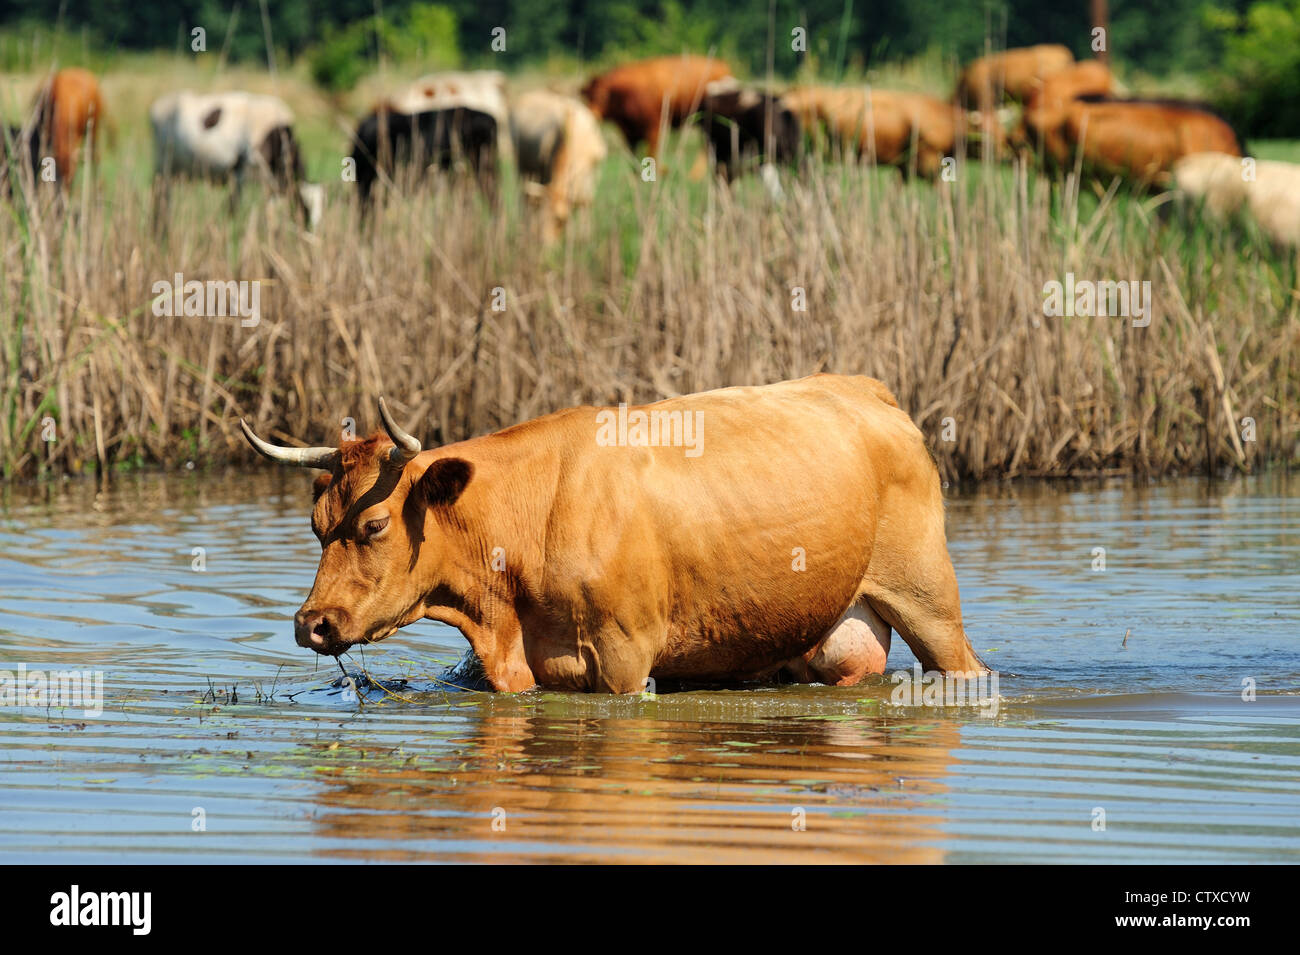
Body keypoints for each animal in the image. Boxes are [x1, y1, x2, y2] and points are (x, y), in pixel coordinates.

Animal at [150, 91, 323, 228]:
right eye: (307, 212)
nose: (314, 241)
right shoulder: (240, 173)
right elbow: (232, 209)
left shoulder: (271, 182)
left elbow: (269, 214)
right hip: (163, 167)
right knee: (160, 202)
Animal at [239, 376, 989, 693]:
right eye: (315, 526)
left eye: (373, 524)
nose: (312, 623)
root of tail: (865, 388)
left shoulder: (627, 657)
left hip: (929, 602)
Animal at [510, 89, 607, 242]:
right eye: (541, 218)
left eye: (560, 219)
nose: (545, 243)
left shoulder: (590, 176)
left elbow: (586, 202)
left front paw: (585, 238)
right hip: (522, 166)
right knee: (525, 198)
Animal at [580, 55, 733, 161]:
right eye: (587, 98)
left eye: (602, 97)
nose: (590, 114)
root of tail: (723, 66)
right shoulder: (629, 136)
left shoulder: (655, 131)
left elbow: (653, 158)